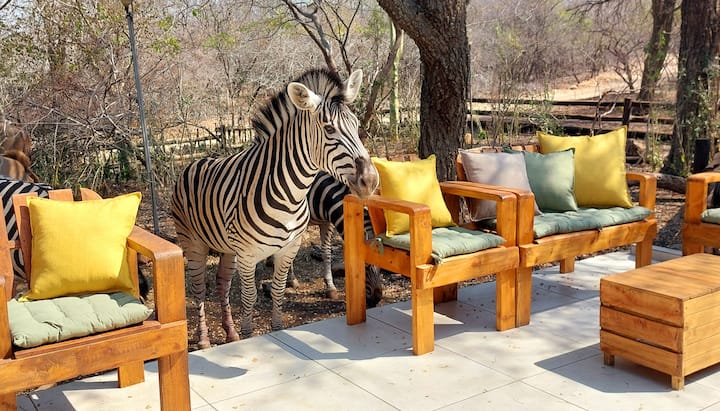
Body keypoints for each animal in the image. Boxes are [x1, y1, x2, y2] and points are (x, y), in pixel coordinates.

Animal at [172, 68, 379, 349]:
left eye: (356, 126)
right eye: (328, 129)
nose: (370, 180)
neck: (293, 194)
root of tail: (194, 161)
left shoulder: (290, 246)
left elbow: (281, 291)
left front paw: (277, 328)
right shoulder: (248, 254)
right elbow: (249, 298)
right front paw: (248, 336)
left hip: (227, 248)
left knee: (222, 284)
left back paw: (230, 333)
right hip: (194, 243)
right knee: (199, 289)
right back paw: (204, 339)